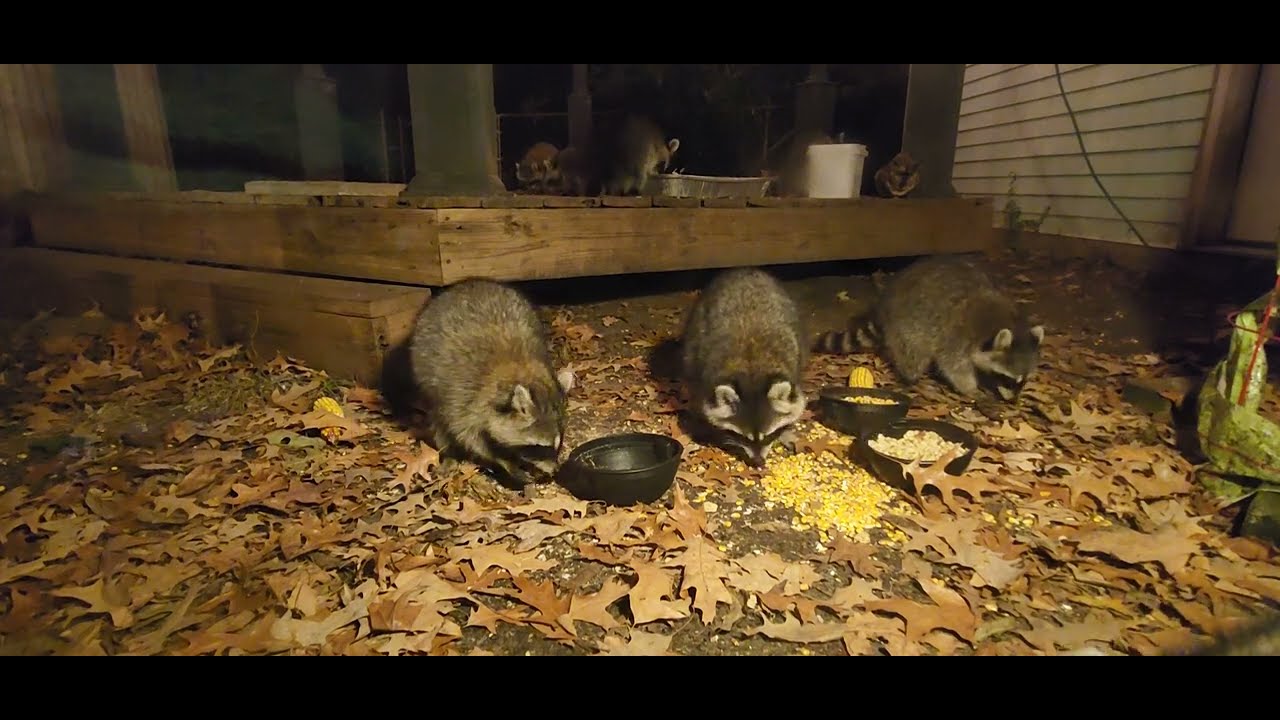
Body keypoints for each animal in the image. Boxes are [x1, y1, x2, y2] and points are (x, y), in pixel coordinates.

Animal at [409, 278, 576, 487]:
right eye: (538, 447)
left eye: (558, 445)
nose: (554, 471)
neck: (522, 370)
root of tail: (469, 283)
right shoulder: (462, 400)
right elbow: (470, 437)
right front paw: (504, 460)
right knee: (438, 420)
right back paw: (448, 454)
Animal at [681, 267, 808, 467]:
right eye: (744, 437)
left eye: (768, 436)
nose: (758, 462)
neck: (752, 370)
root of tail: (744, 270)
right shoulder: (704, 375)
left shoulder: (793, 367)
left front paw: (786, 430)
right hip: (695, 327)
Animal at [814, 255, 1044, 401]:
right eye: (1008, 378)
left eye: (1024, 381)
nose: (1013, 402)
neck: (1005, 322)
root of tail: (885, 303)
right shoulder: (957, 337)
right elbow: (954, 366)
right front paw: (970, 388)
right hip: (907, 323)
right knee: (913, 353)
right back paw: (911, 379)